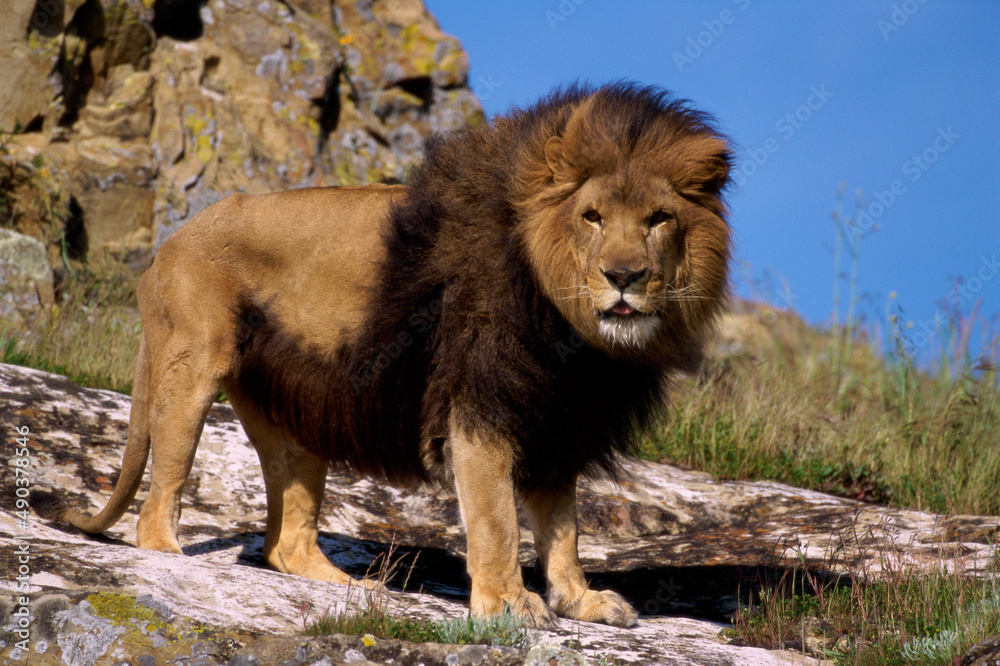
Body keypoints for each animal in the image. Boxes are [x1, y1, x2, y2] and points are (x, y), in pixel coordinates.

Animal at [58, 82, 732, 628]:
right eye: (592, 217)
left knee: (285, 542)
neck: (580, 340)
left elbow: (563, 527)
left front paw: (579, 600)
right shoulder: (481, 403)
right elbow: (496, 519)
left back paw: (352, 590)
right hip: (190, 369)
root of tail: (168, 245)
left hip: (294, 413)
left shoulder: (556, 415)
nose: (624, 276)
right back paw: (178, 560)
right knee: (157, 504)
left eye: (658, 218)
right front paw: (508, 605)